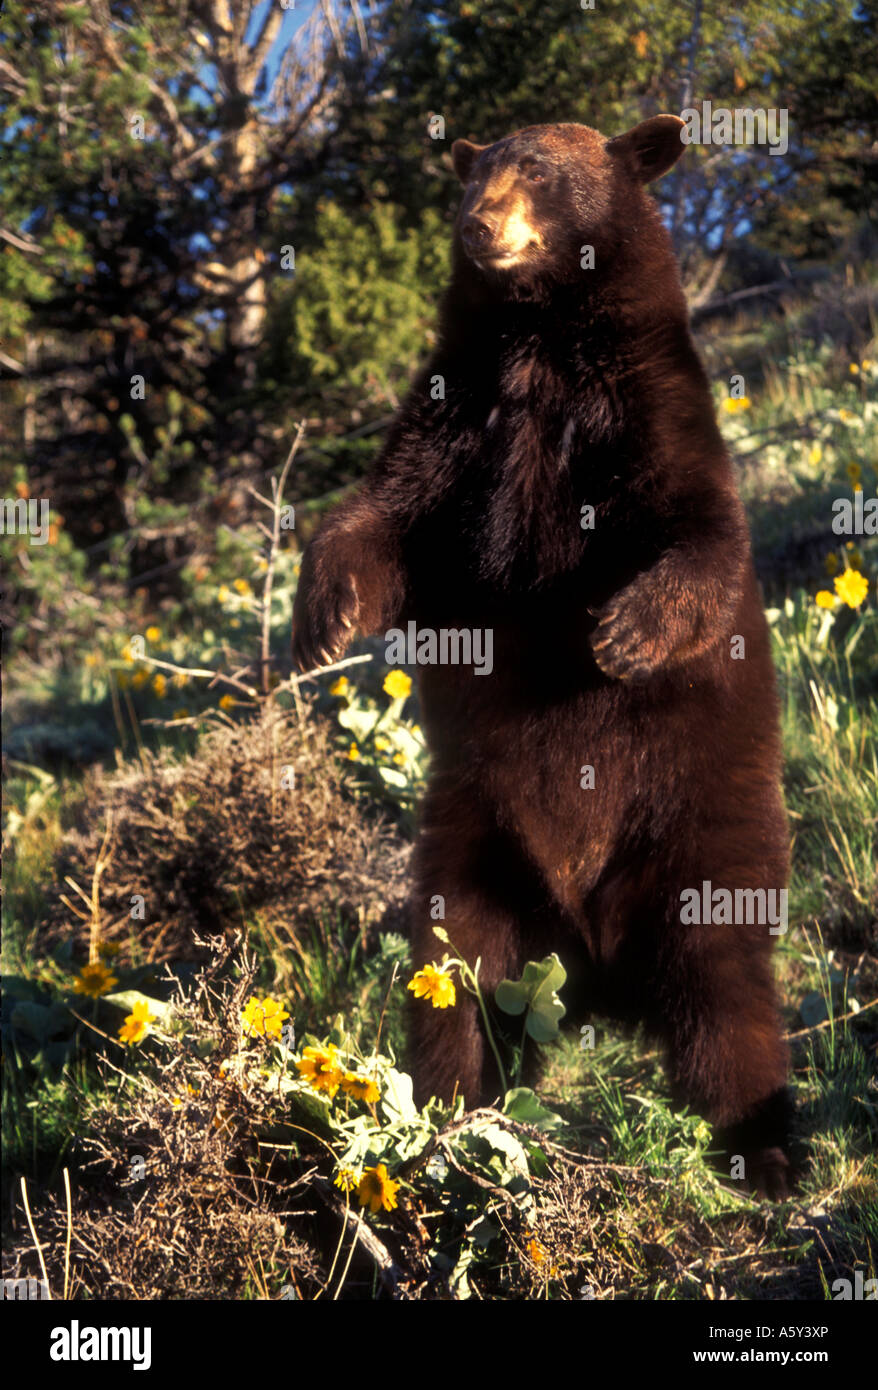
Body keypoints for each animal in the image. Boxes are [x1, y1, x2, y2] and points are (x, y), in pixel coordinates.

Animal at [292, 115, 792, 1199]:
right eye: (473, 175)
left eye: (541, 173)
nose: (478, 224)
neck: (541, 345)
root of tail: (595, 967)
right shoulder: (455, 422)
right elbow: (382, 520)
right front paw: (323, 613)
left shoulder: (643, 412)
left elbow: (699, 532)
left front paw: (624, 632)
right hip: (473, 861)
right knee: (458, 990)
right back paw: (449, 1114)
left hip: (698, 831)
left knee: (725, 992)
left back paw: (763, 1141)